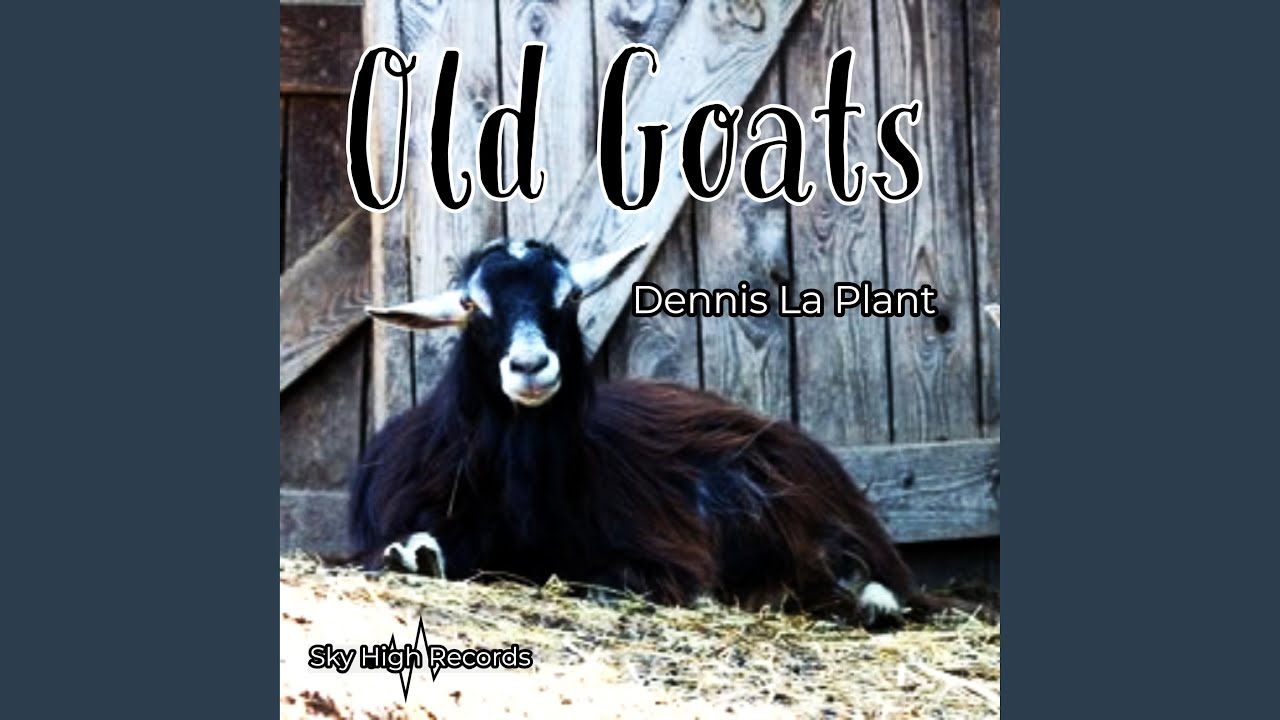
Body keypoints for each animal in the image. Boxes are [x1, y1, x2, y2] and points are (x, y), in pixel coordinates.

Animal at [349, 237, 967, 627]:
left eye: (571, 296)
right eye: (471, 304)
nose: (530, 366)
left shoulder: (663, 554)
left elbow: (619, 579)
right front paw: (416, 556)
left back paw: (867, 602)